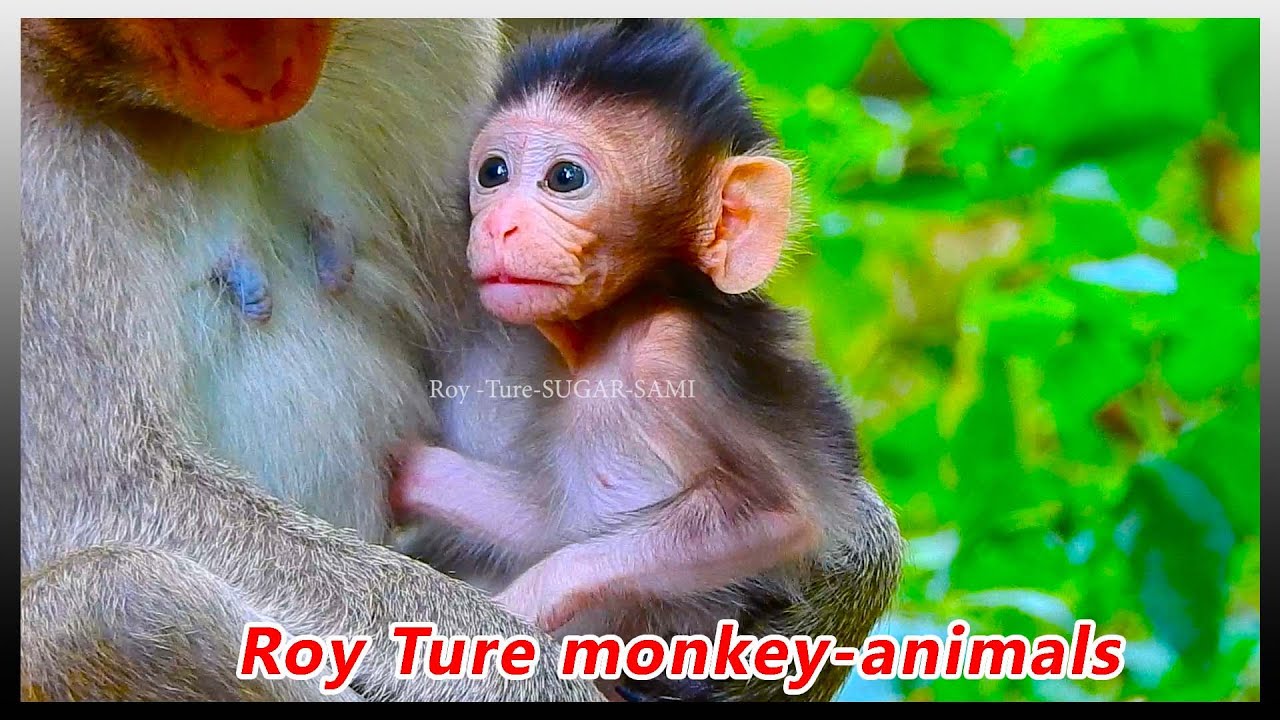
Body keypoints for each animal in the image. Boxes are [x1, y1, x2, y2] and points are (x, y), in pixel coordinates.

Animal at [389, 19, 904, 702]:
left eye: (565, 178)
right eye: (493, 172)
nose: (497, 225)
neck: (620, 324)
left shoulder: (671, 356)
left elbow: (780, 519)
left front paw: (516, 612)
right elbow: (542, 522)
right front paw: (406, 472)